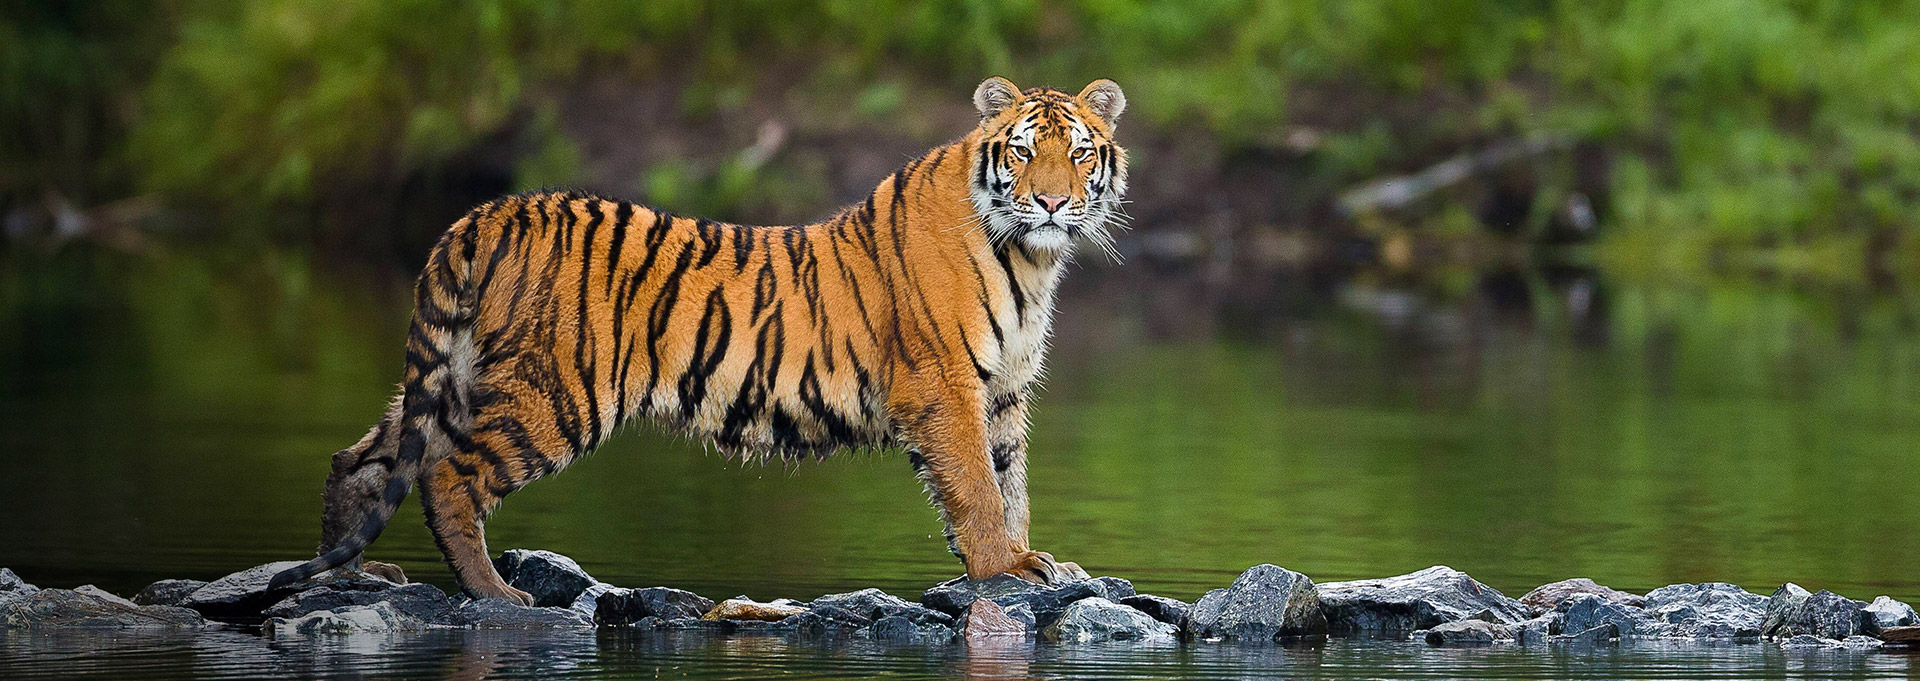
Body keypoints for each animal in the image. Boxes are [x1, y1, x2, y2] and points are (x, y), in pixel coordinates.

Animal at [269, 77, 1130, 604]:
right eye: (1023, 150)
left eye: (1080, 151)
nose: (1052, 202)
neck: (1031, 258)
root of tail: (492, 209)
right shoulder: (944, 383)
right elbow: (977, 488)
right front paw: (1002, 567)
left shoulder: (1004, 390)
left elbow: (1011, 482)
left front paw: (1030, 558)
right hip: (555, 392)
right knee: (448, 473)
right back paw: (493, 592)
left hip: (455, 372)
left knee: (364, 457)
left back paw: (345, 573)